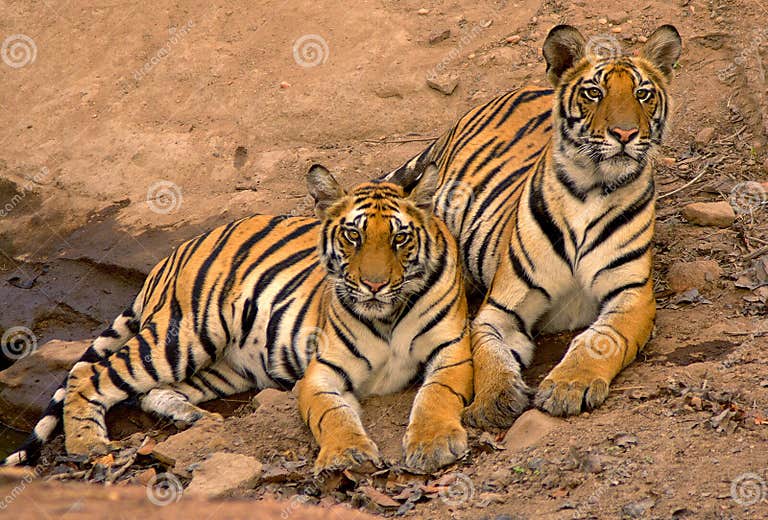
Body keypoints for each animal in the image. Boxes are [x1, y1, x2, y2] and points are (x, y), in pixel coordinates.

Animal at [3, 163, 473, 475]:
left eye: (400, 238)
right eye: (352, 235)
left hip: (226, 367)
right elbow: (332, 415)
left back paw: (193, 418)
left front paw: (433, 445)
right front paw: (347, 454)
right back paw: (88, 444)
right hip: (182, 336)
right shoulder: (322, 372)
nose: (374, 285)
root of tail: (172, 254)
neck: (386, 315)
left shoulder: (453, 352)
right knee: (89, 376)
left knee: (146, 392)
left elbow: (436, 395)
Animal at [382, 24, 682, 429]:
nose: (624, 133)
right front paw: (493, 400)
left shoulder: (632, 295)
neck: (592, 188)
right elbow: (489, 353)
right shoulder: (502, 306)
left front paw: (568, 386)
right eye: (594, 92)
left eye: (643, 94)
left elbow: (599, 340)